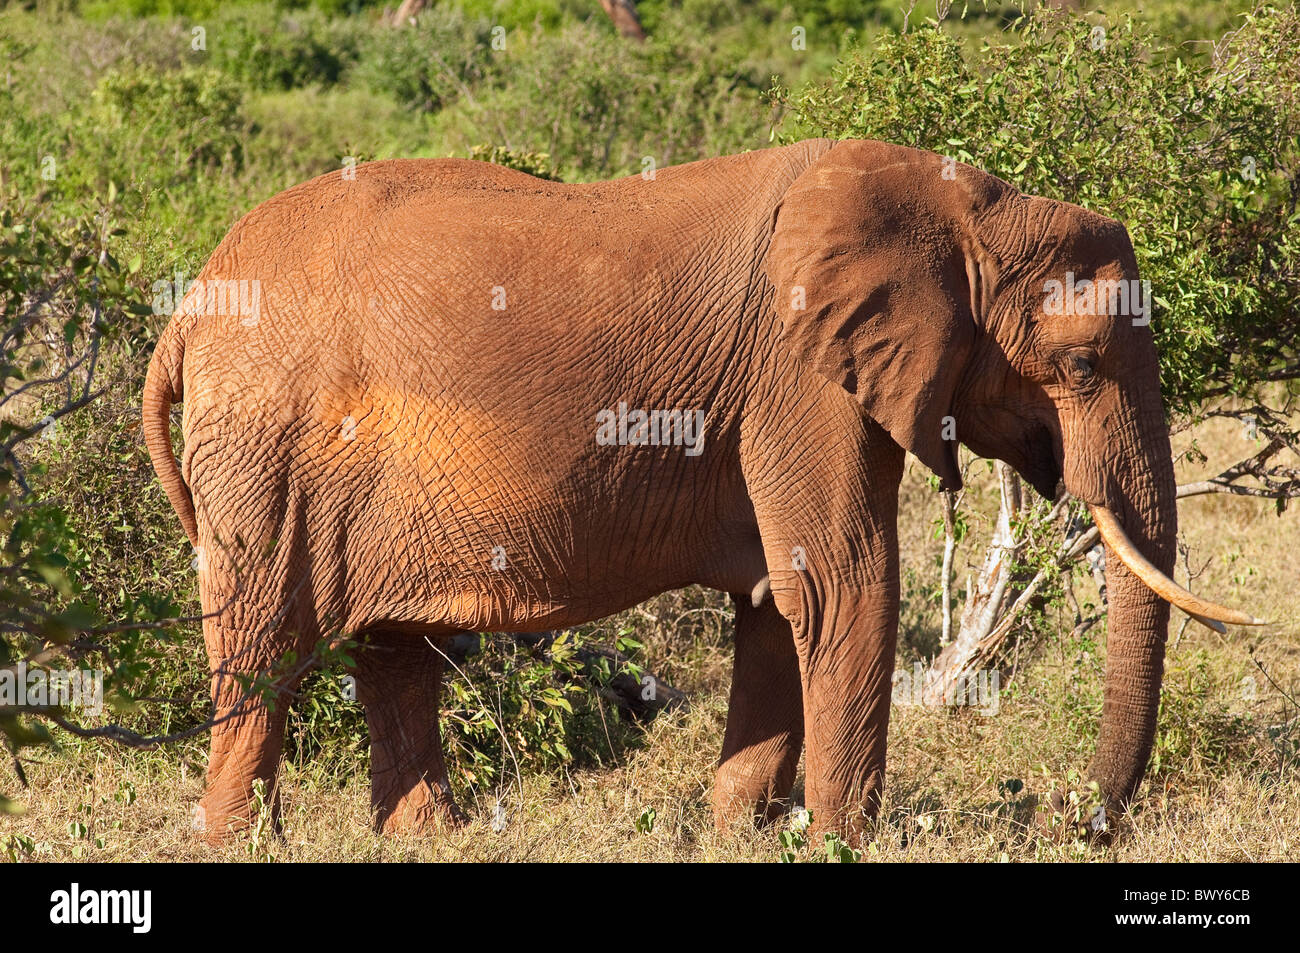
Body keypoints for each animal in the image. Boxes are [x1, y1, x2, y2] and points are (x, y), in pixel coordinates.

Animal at [142, 138, 1261, 844]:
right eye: (1079, 367)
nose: (1086, 821)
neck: (964, 205)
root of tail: (188, 308)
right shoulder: (797, 372)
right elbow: (843, 580)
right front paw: (843, 838)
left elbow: (777, 596)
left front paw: (743, 829)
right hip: (266, 442)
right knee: (263, 640)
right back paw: (239, 841)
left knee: (389, 648)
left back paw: (429, 838)